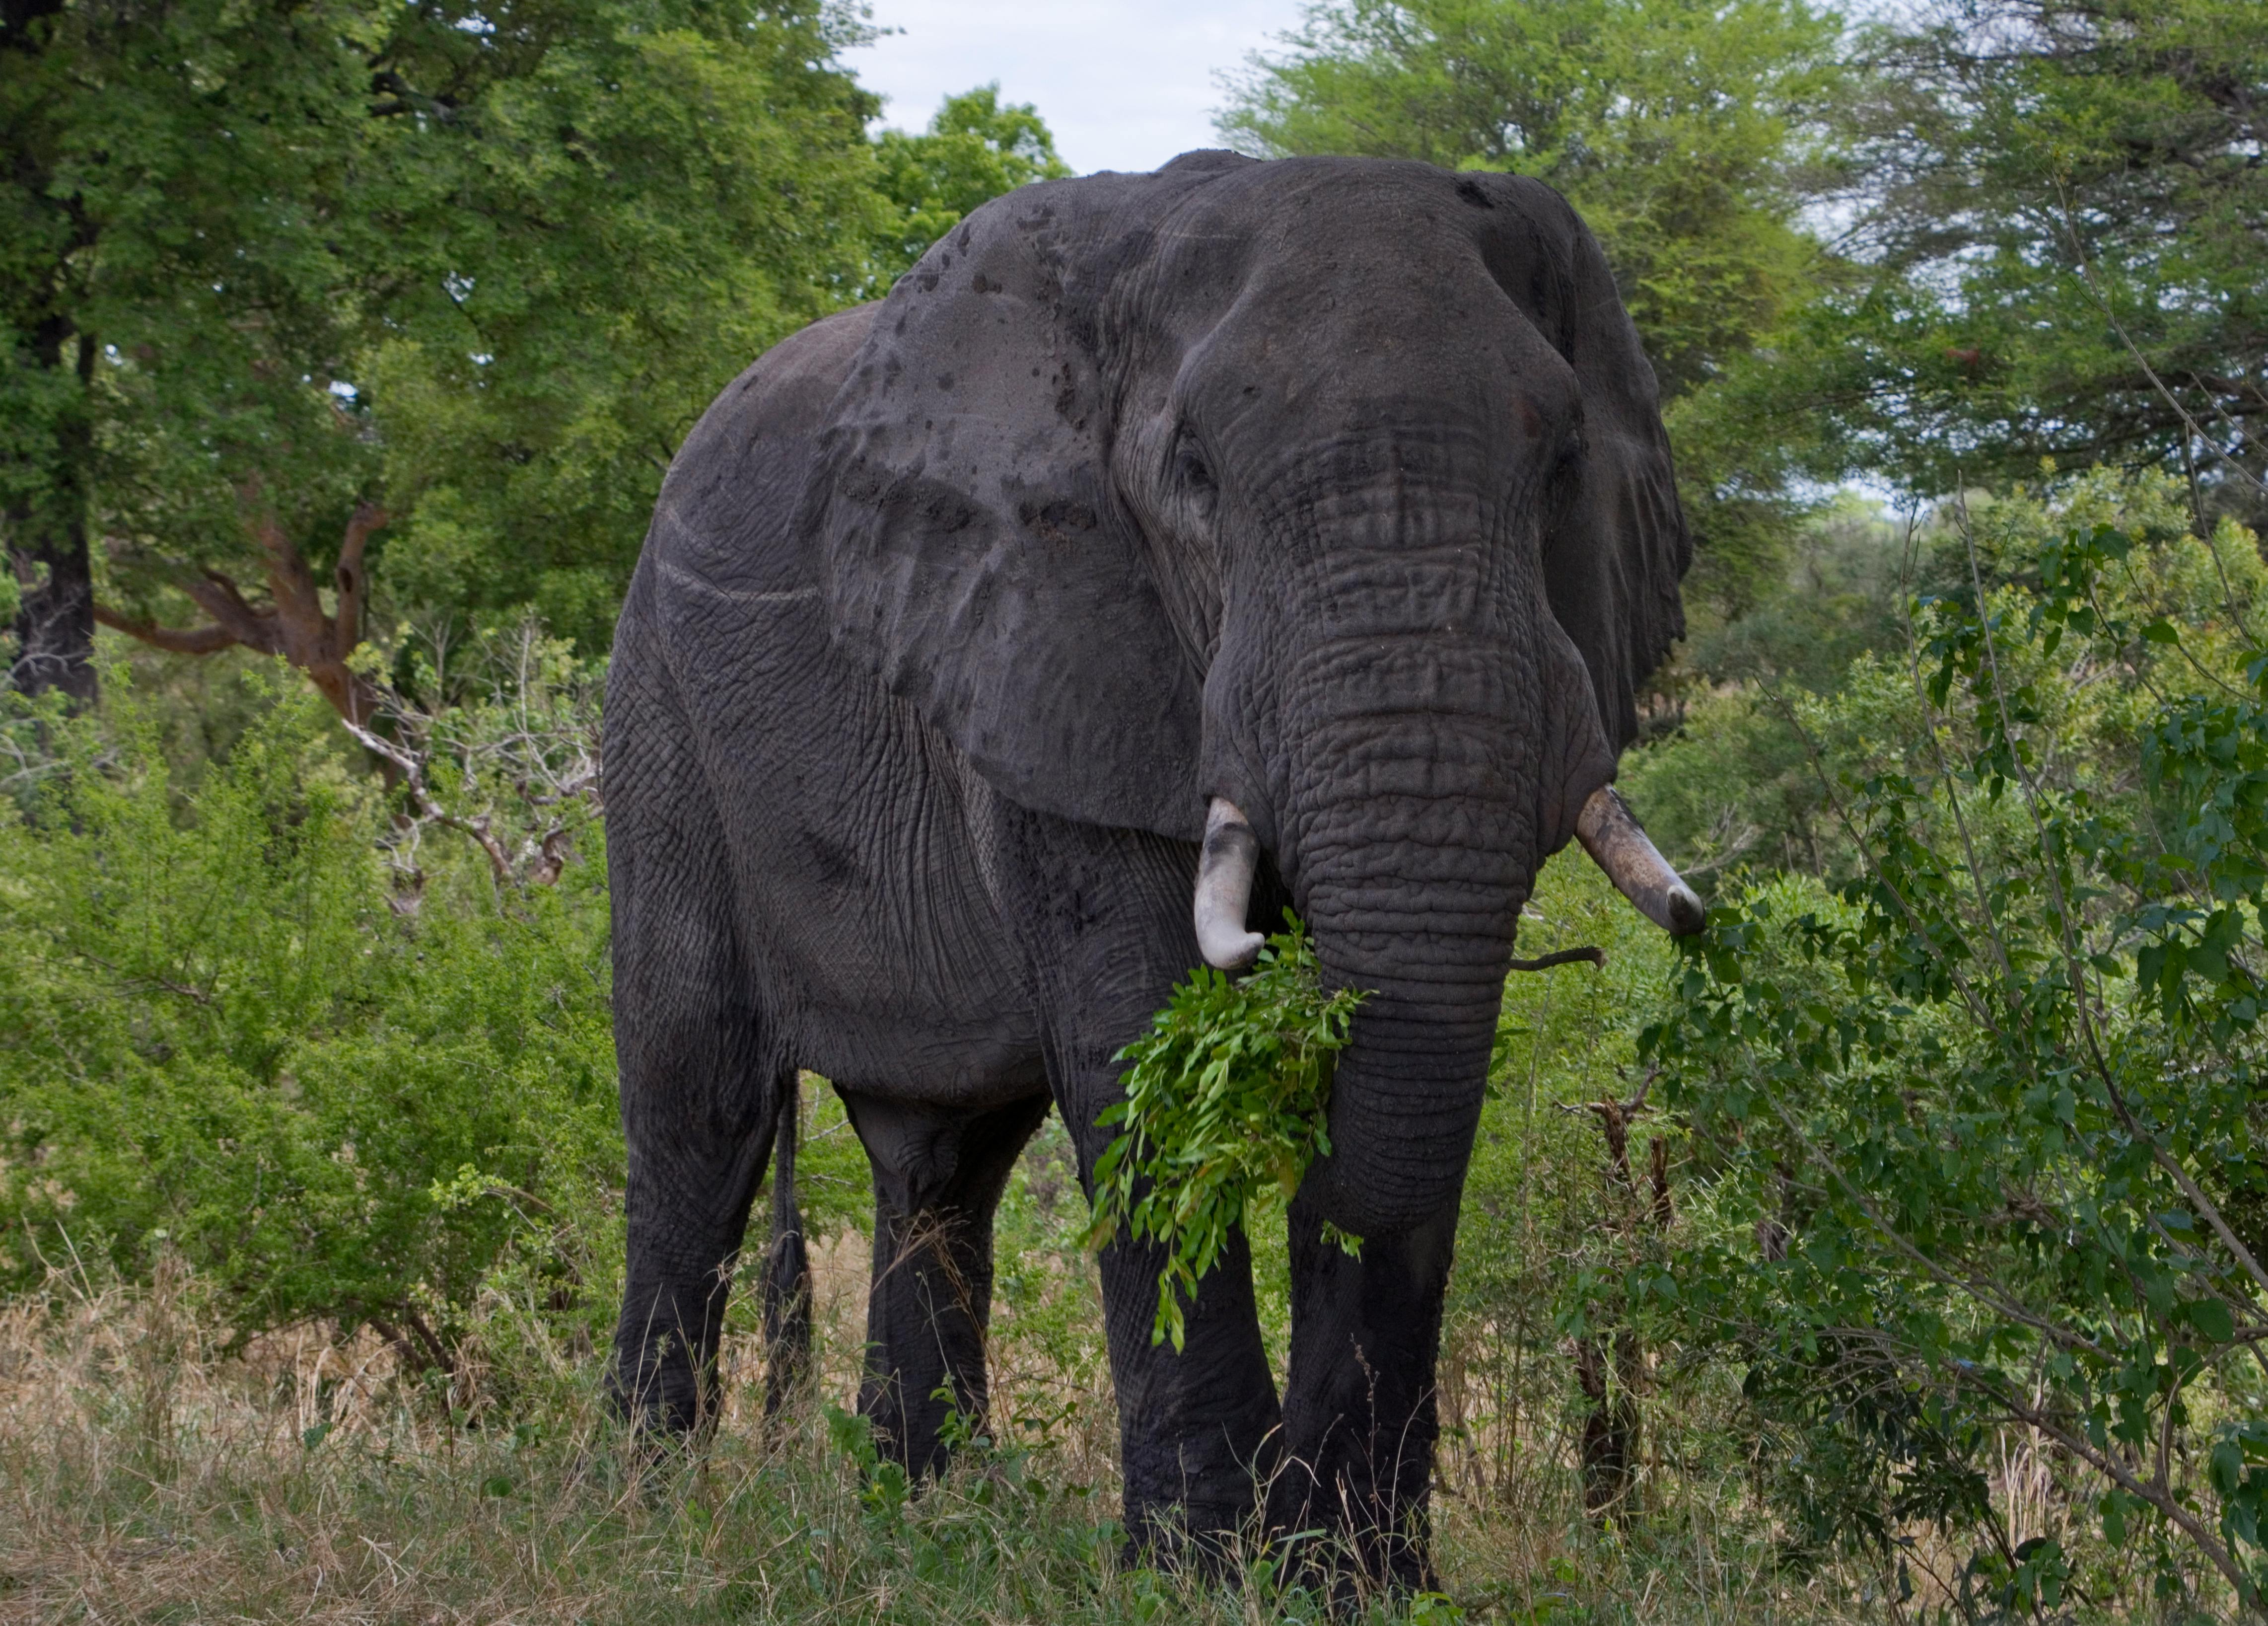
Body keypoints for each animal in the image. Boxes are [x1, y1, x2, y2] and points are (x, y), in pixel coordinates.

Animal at [604, 148, 1702, 1584]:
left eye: (1564, 459)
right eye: (1191, 470)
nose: (1316, 1526)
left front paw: (1351, 1584)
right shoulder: (1049, 634)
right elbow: (1140, 1048)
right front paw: (1206, 1569)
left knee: (940, 1162)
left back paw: (922, 1519)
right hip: (660, 705)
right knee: (702, 1102)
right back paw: (639, 1514)